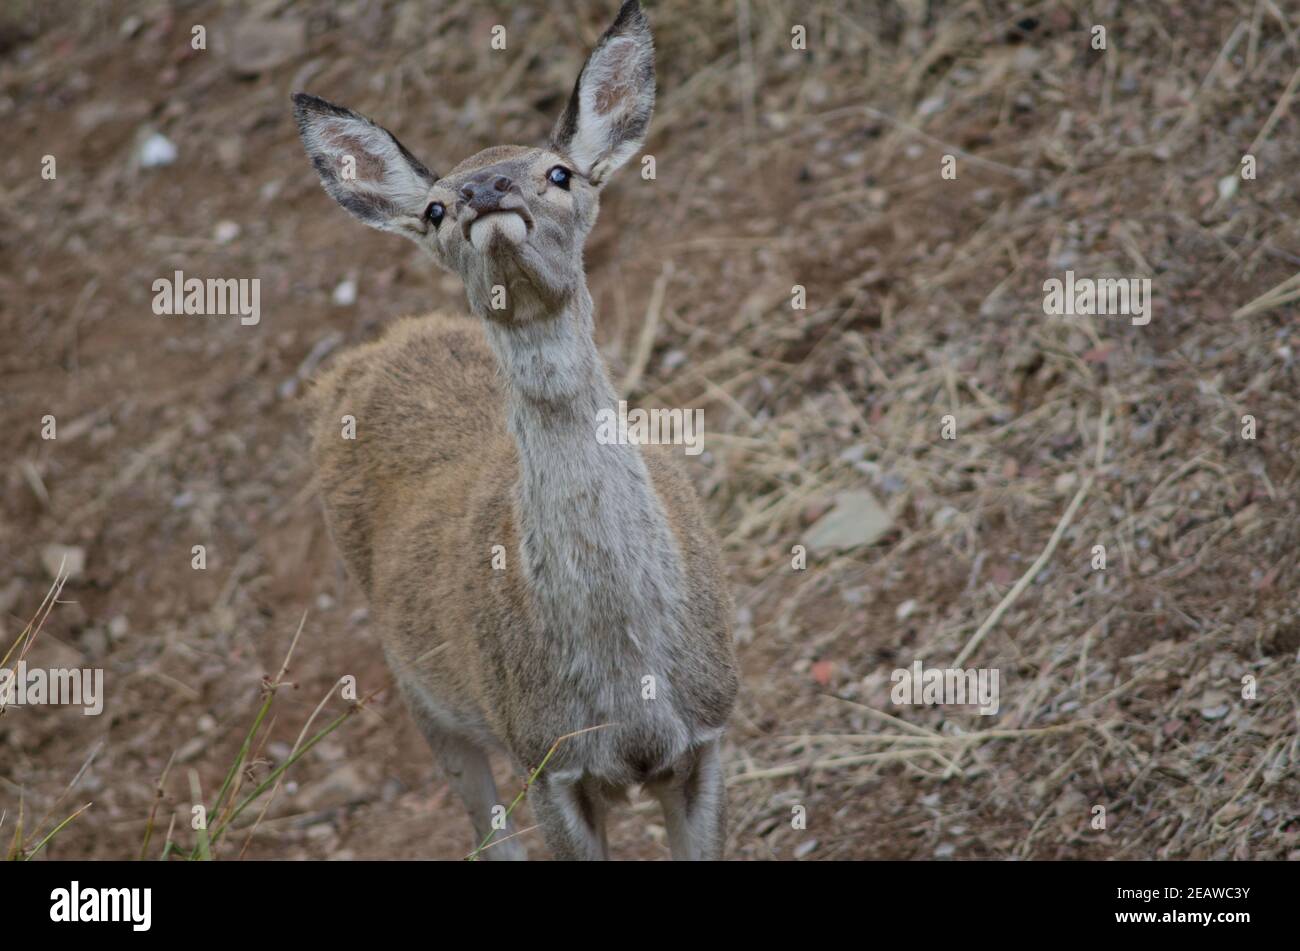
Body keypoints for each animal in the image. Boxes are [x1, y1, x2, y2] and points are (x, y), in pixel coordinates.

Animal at [291, 0, 738, 860]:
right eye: (434, 208)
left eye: (560, 173)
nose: (482, 189)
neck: (628, 679)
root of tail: (362, 359)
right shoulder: (546, 758)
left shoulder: (708, 729)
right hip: (424, 692)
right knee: (484, 827)